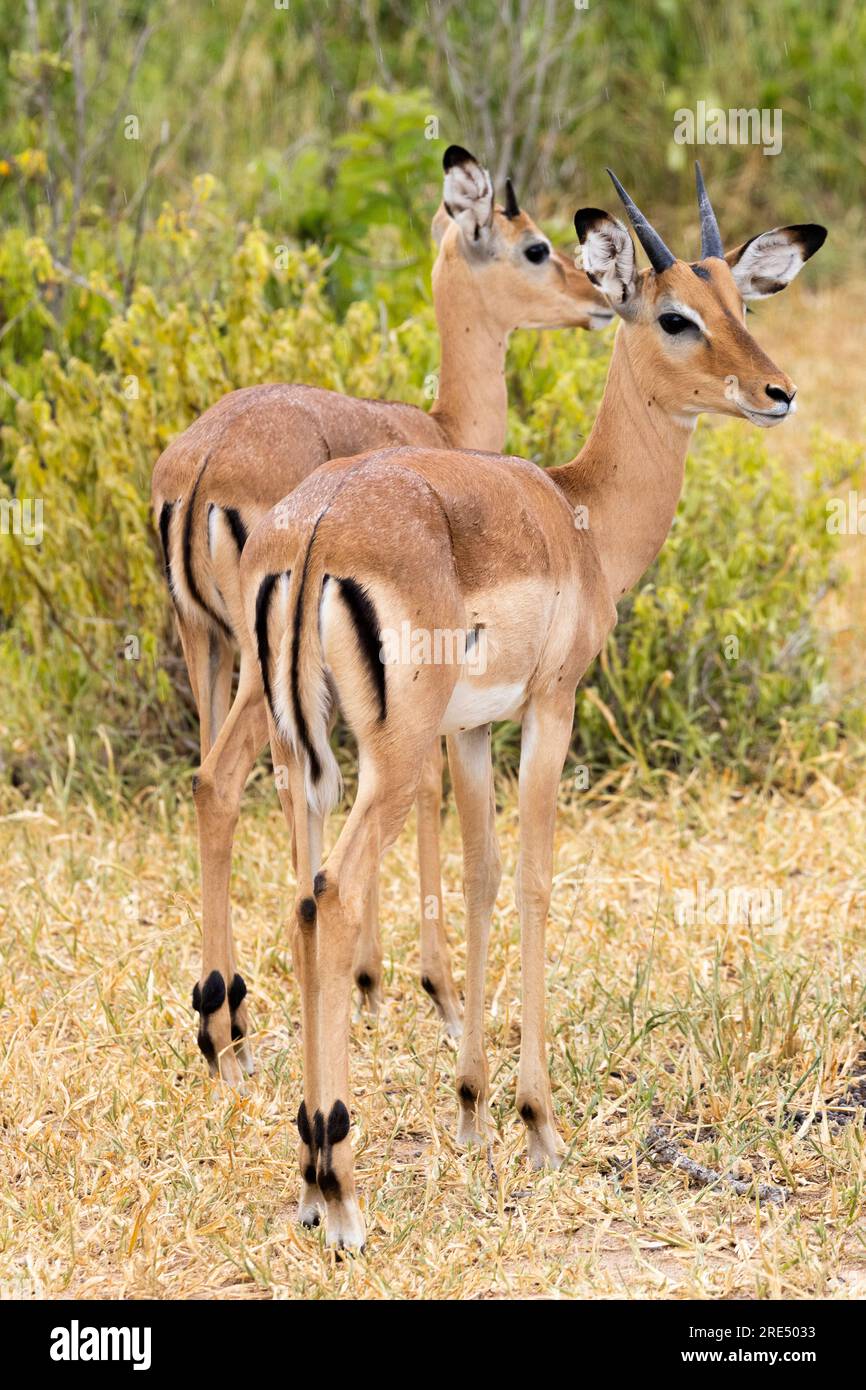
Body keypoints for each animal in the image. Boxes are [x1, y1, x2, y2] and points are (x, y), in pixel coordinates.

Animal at [152, 146, 611, 1081]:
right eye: (535, 246)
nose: (596, 296)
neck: (440, 425)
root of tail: (202, 463)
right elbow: (431, 796)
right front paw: (426, 993)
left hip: (209, 651)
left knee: (226, 785)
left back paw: (225, 1013)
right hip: (261, 674)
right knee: (232, 782)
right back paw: (233, 1029)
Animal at [237, 166, 825, 1248]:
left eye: (743, 302)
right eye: (674, 314)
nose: (777, 393)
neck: (578, 514)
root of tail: (318, 527)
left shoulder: (472, 731)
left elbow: (477, 881)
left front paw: (471, 1109)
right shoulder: (550, 707)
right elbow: (538, 879)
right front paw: (539, 1123)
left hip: (308, 750)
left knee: (300, 900)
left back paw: (309, 1177)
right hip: (388, 759)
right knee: (334, 897)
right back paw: (340, 1196)